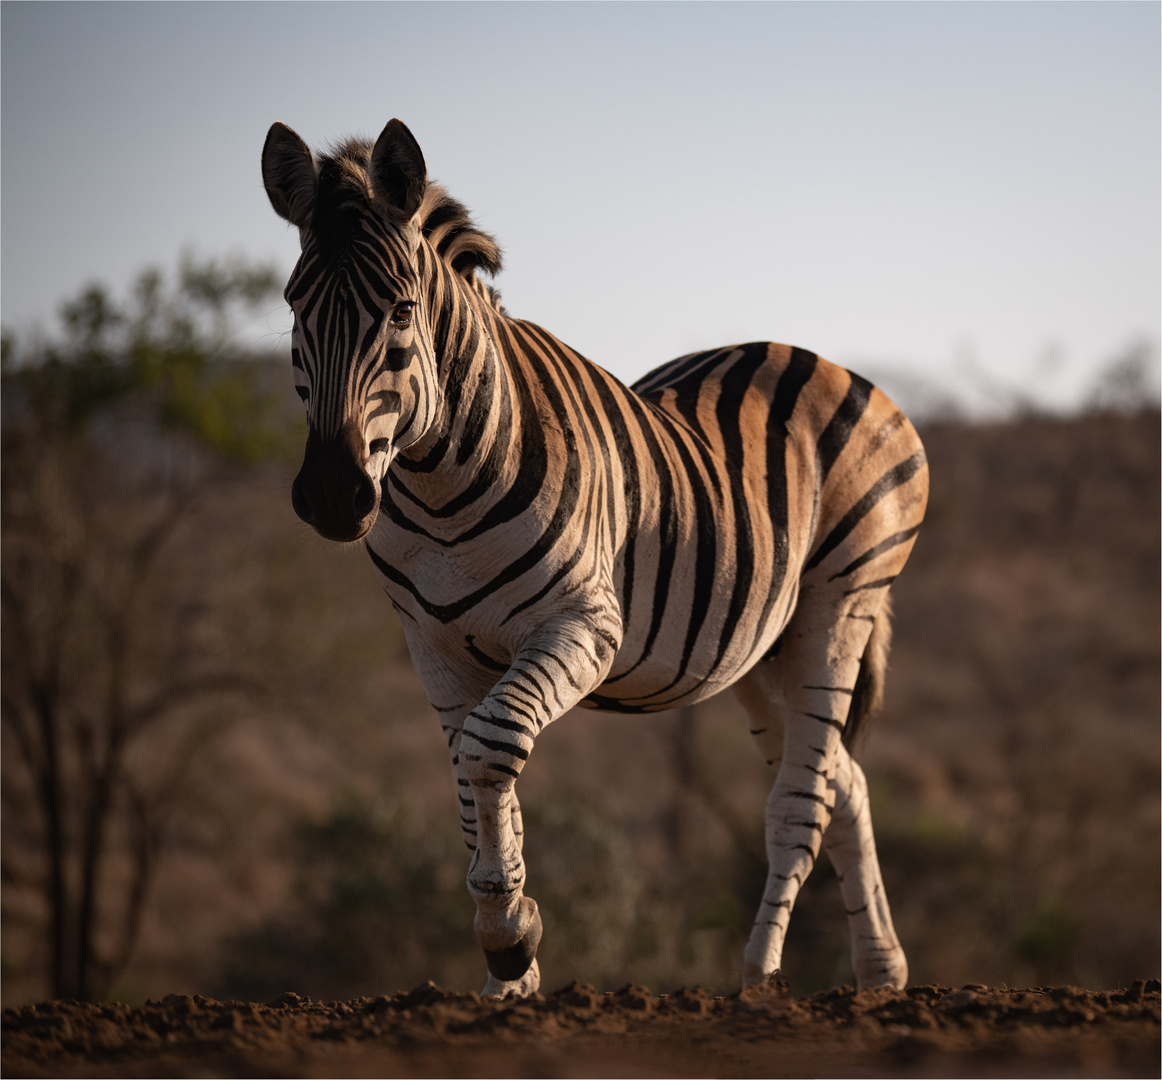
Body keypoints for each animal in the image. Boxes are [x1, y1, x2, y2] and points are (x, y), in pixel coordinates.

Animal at [262, 117, 928, 998]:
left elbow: (492, 746)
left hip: (839, 606)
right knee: (842, 782)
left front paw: (510, 938)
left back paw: (758, 979)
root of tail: (816, 359)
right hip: (763, 650)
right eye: (294, 305)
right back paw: (883, 975)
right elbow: (472, 780)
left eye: (401, 310)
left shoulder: (583, 625)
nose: (335, 495)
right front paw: (509, 976)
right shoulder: (432, 647)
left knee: (802, 801)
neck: (441, 486)